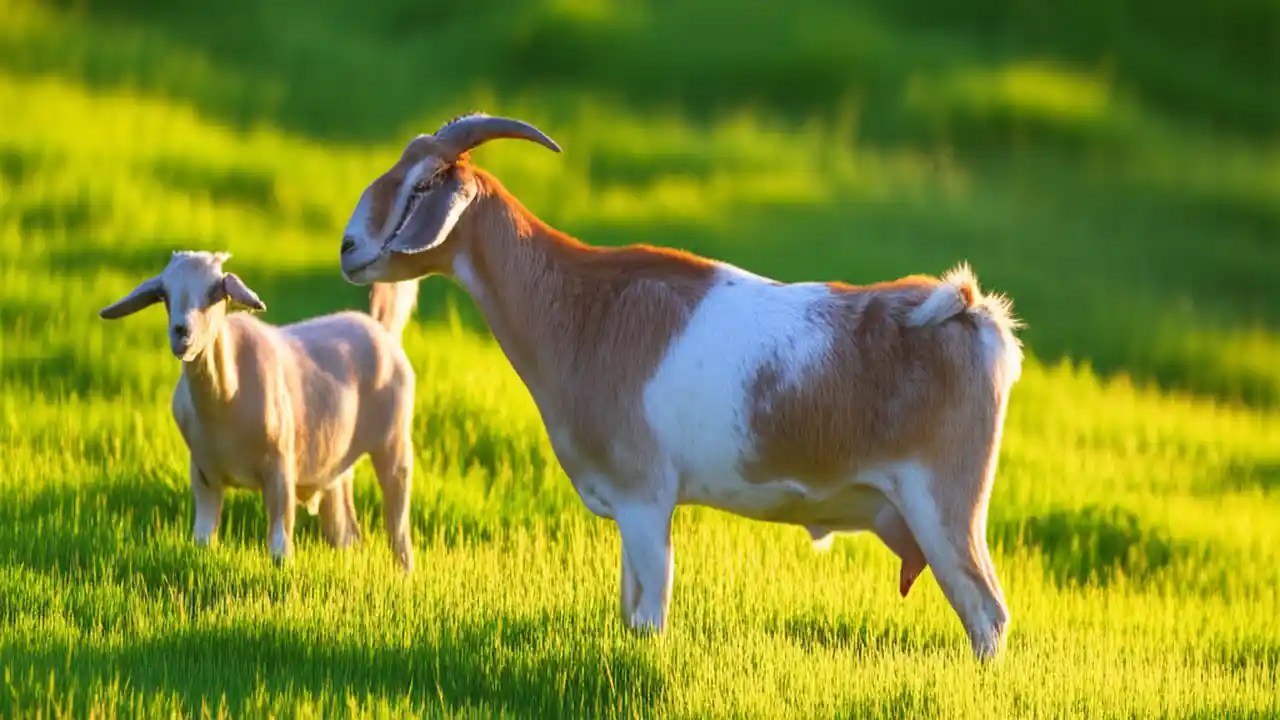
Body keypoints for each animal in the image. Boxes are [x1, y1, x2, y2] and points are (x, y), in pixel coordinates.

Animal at [100, 251, 418, 570]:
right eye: (164, 293)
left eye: (215, 291)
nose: (181, 334)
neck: (224, 403)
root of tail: (380, 328)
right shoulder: (203, 473)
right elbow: (203, 539)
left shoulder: (280, 468)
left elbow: (279, 541)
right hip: (334, 464)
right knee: (347, 531)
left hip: (394, 444)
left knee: (398, 525)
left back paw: (404, 570)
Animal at [337, 115, 1023, 658]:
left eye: (421, 183)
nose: (348, 247)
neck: (586, 306)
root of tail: (967, 311)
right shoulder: (628, 511)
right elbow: (629, 612)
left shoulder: (646, 501)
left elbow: (650, 618)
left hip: (945, 511)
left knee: (988, 614)